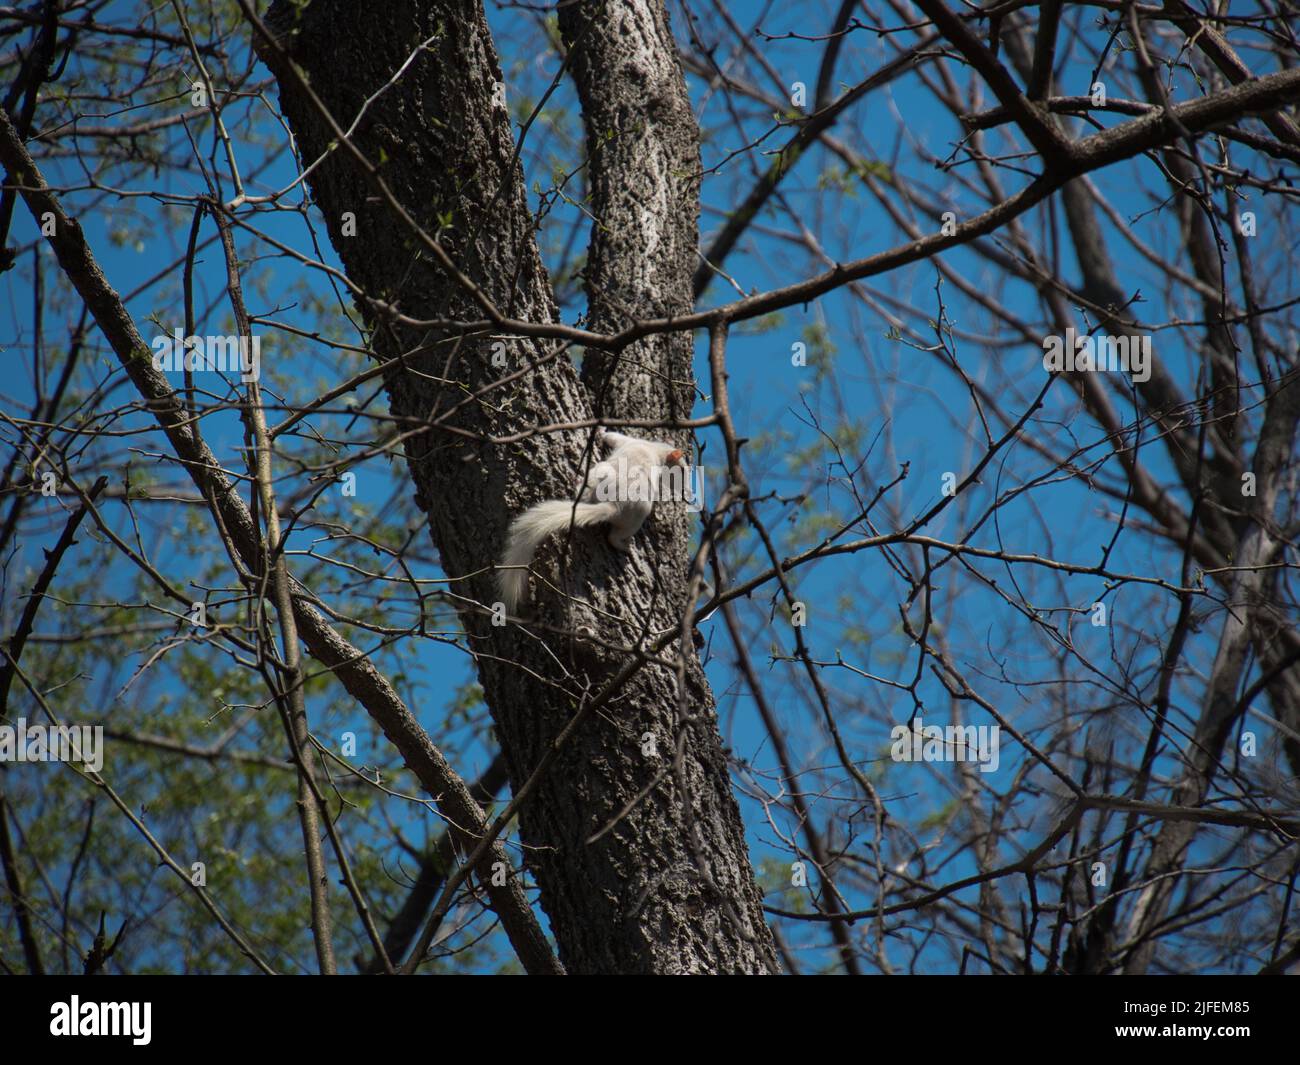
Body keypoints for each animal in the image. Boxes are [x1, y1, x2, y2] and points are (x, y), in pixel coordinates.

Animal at [496, 431, 688, 614]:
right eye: (683, 469)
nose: (685, 490)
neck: (657, 450)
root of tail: (614, 506)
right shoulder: (632, 442)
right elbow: (612, 437)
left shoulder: (629, 442)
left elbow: (612, 437)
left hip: (601, 474)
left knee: (611, 535)